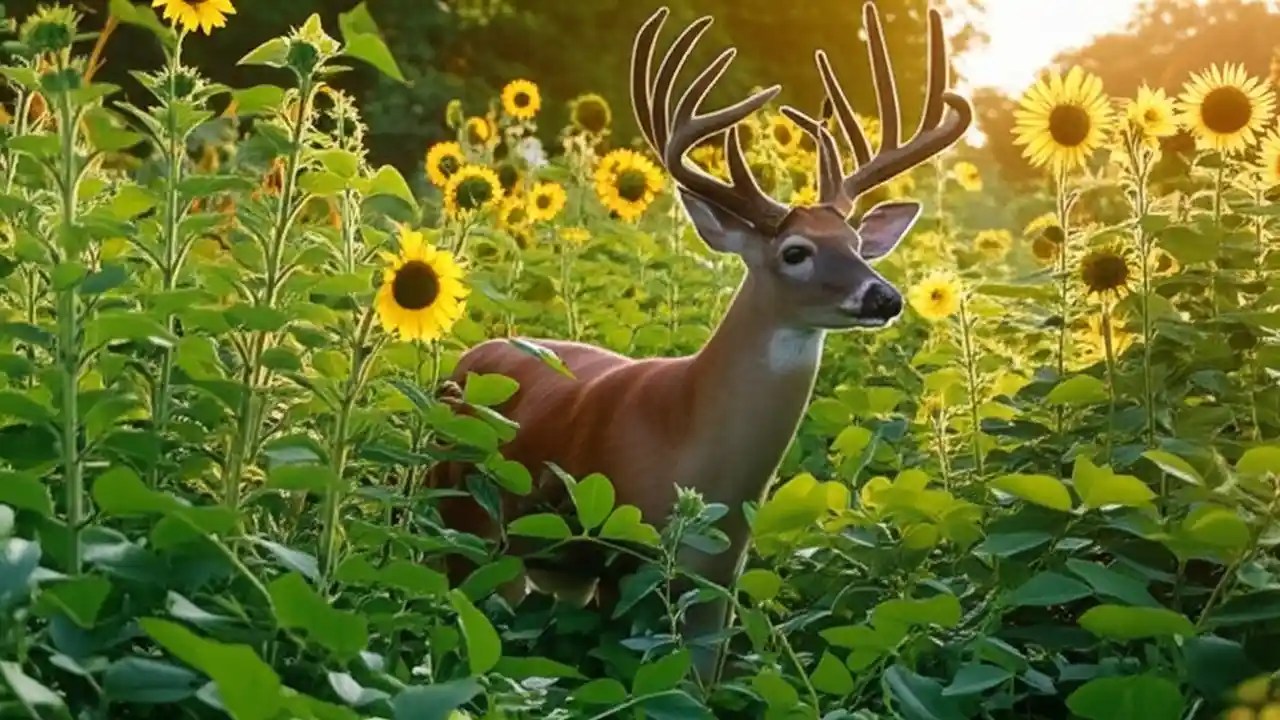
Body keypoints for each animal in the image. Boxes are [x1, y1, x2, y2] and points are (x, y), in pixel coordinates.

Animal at [428, 1, 972, 682]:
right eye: (796, 252)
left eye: (855, 245)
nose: (885, 297)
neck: (693, 449)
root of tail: (468, 357)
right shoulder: (623, 550)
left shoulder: (719, 574)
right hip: (468, 521)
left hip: (551, 565)